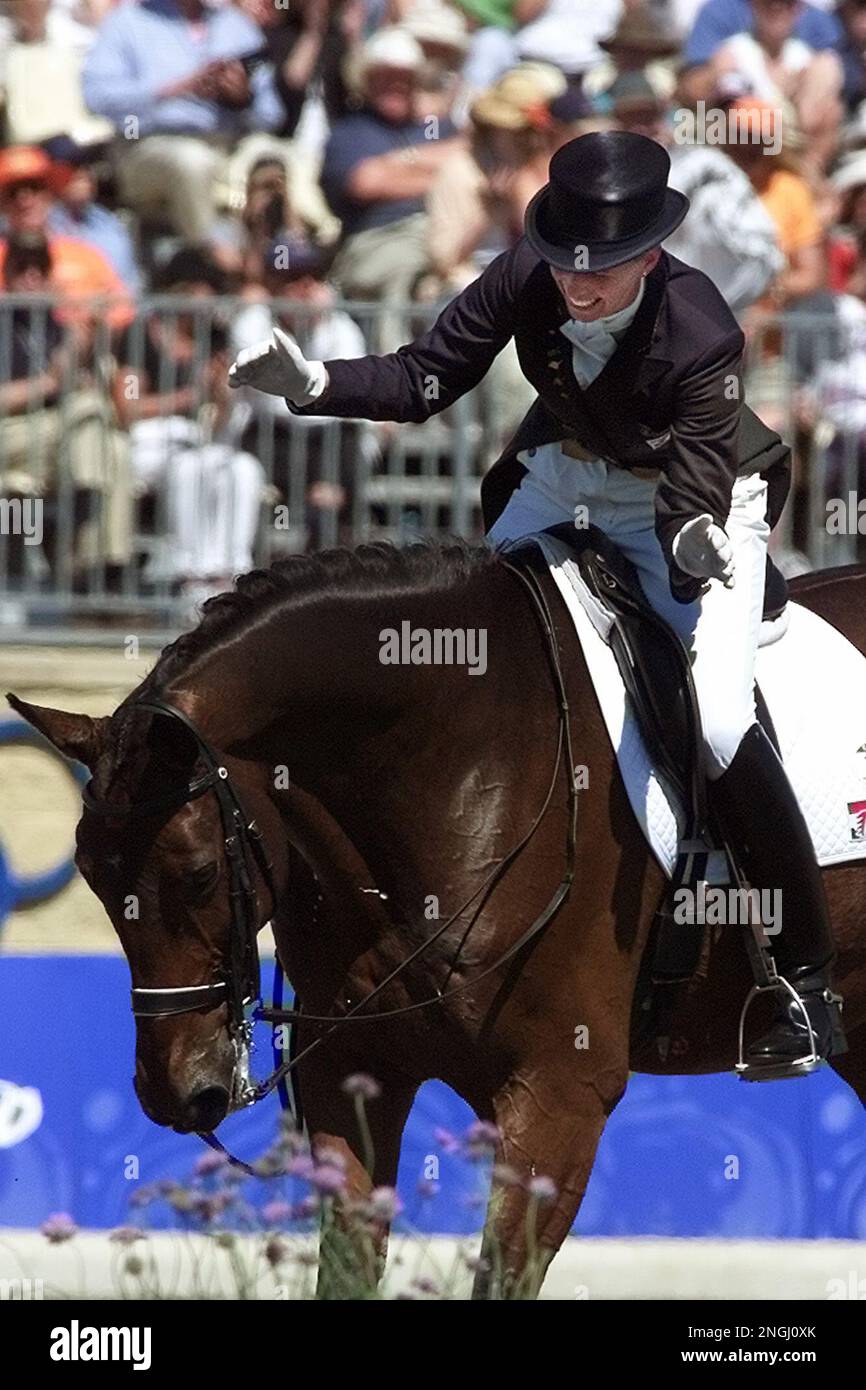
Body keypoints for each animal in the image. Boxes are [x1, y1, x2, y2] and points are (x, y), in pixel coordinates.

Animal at [8, 543, 866, 1297]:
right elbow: (346, 1272)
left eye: (199, 874)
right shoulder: (351, 1073)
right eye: (91, 876)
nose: (171, 1093)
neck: (459, 773)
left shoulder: (562, 1096)